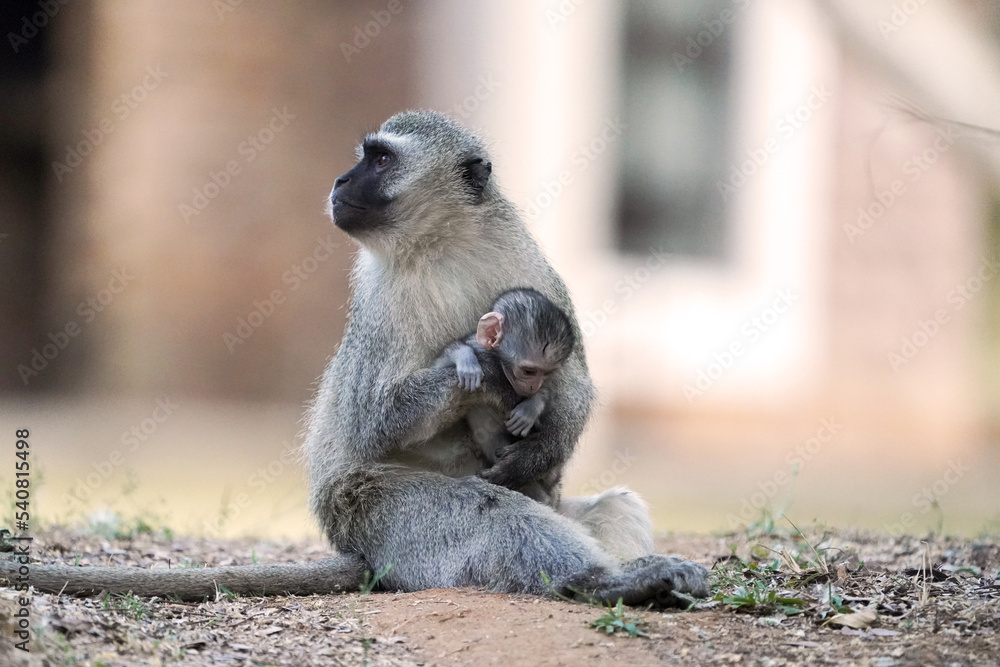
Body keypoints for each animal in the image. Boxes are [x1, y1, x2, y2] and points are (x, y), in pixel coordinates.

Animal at [1, 110, 709, 607]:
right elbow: (375, 419)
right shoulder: (380, 300)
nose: (340, 181)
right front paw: (476, 371)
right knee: (489, 516)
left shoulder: (529, 264)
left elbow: (577, 380)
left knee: (614, 505)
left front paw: (541, 440)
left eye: (379, 158)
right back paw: (600, 582)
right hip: (372, 512)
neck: (441, 243)